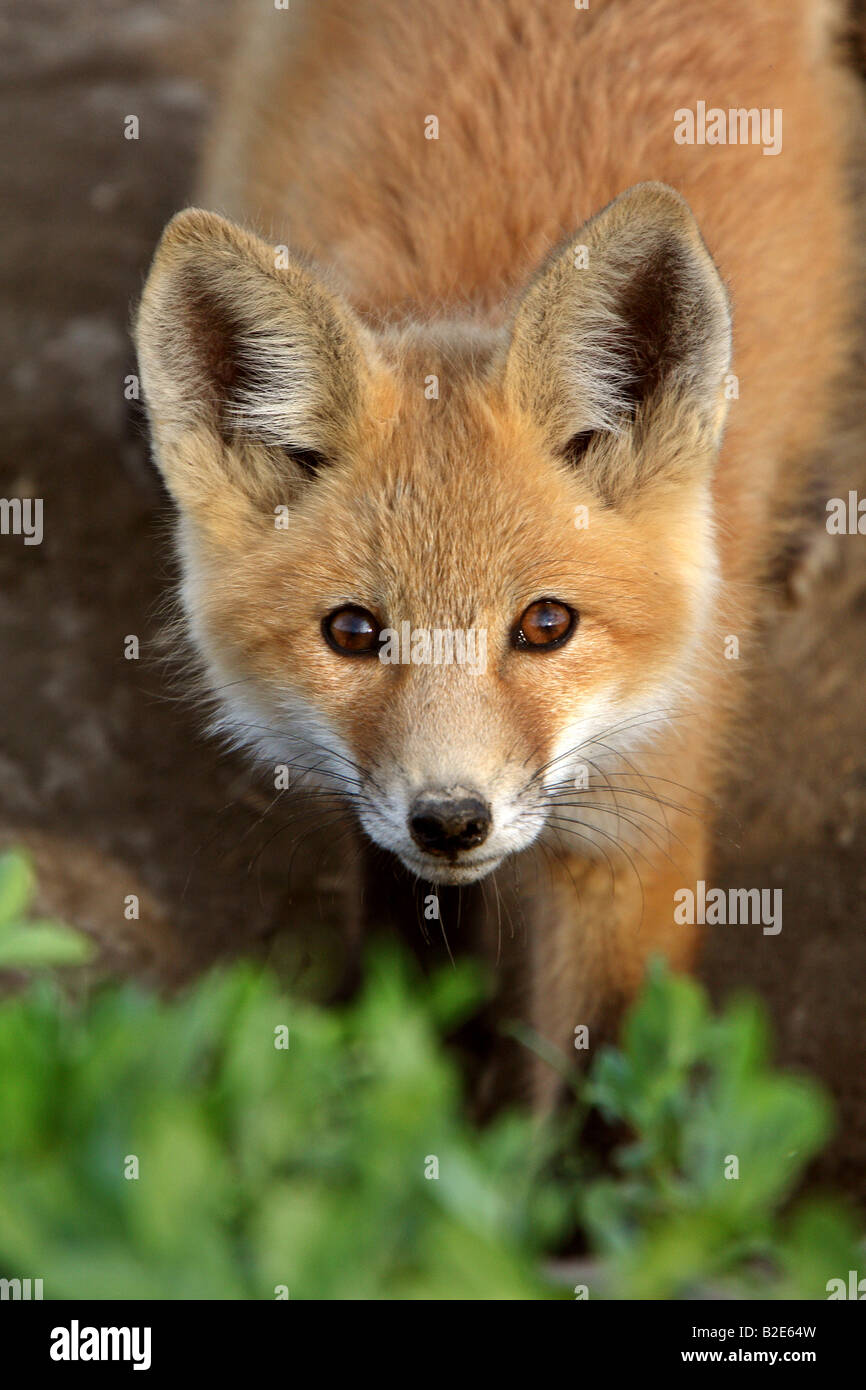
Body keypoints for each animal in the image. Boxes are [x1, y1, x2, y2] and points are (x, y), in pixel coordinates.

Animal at [134, 0, 855, 1107]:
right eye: (353, 632)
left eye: (545, 625)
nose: (450, 820)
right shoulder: (378, 824)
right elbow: (414, 996)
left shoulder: (635, 829)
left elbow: (610, 1099)